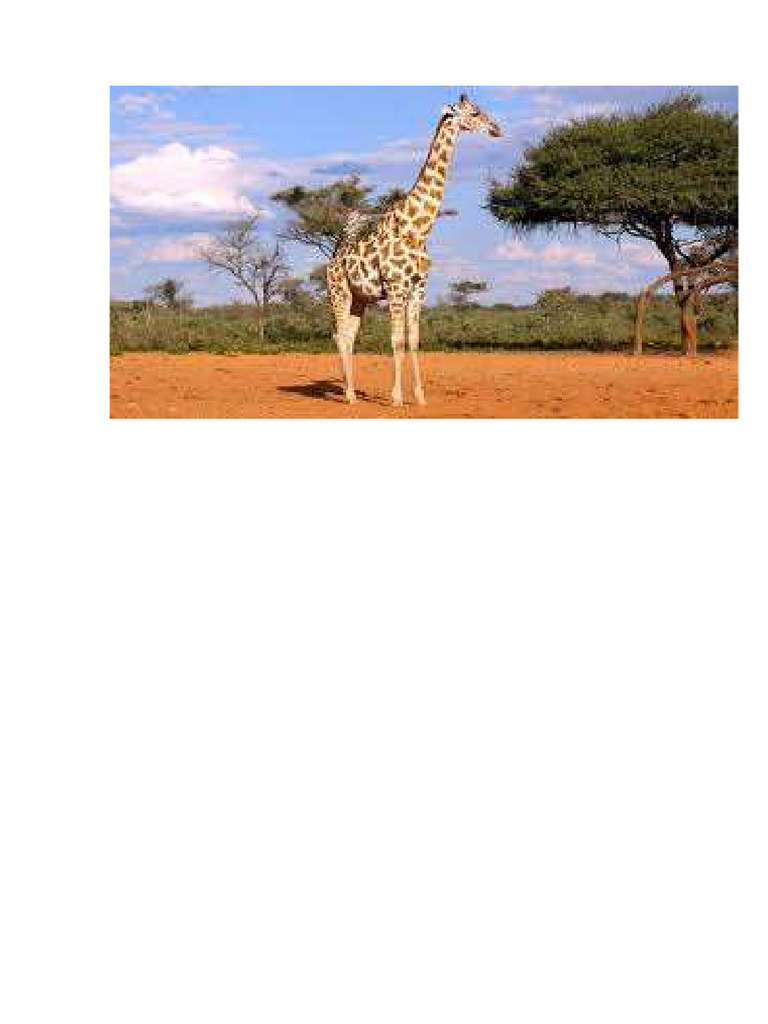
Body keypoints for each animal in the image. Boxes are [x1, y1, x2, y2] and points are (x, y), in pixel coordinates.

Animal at [326, 94, 502, 406]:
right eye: (474, 113)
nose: (497, 129)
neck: (418, 228)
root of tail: (331, 261)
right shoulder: (396, 287)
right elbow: (396, 340)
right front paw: (396, 398)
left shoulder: (419, 287)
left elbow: (414, 340)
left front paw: (420, 397)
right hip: (339, 292)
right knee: (340, 336)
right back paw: (348, 395)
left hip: (360, 298)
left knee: (348, 336)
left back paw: (352, 392)